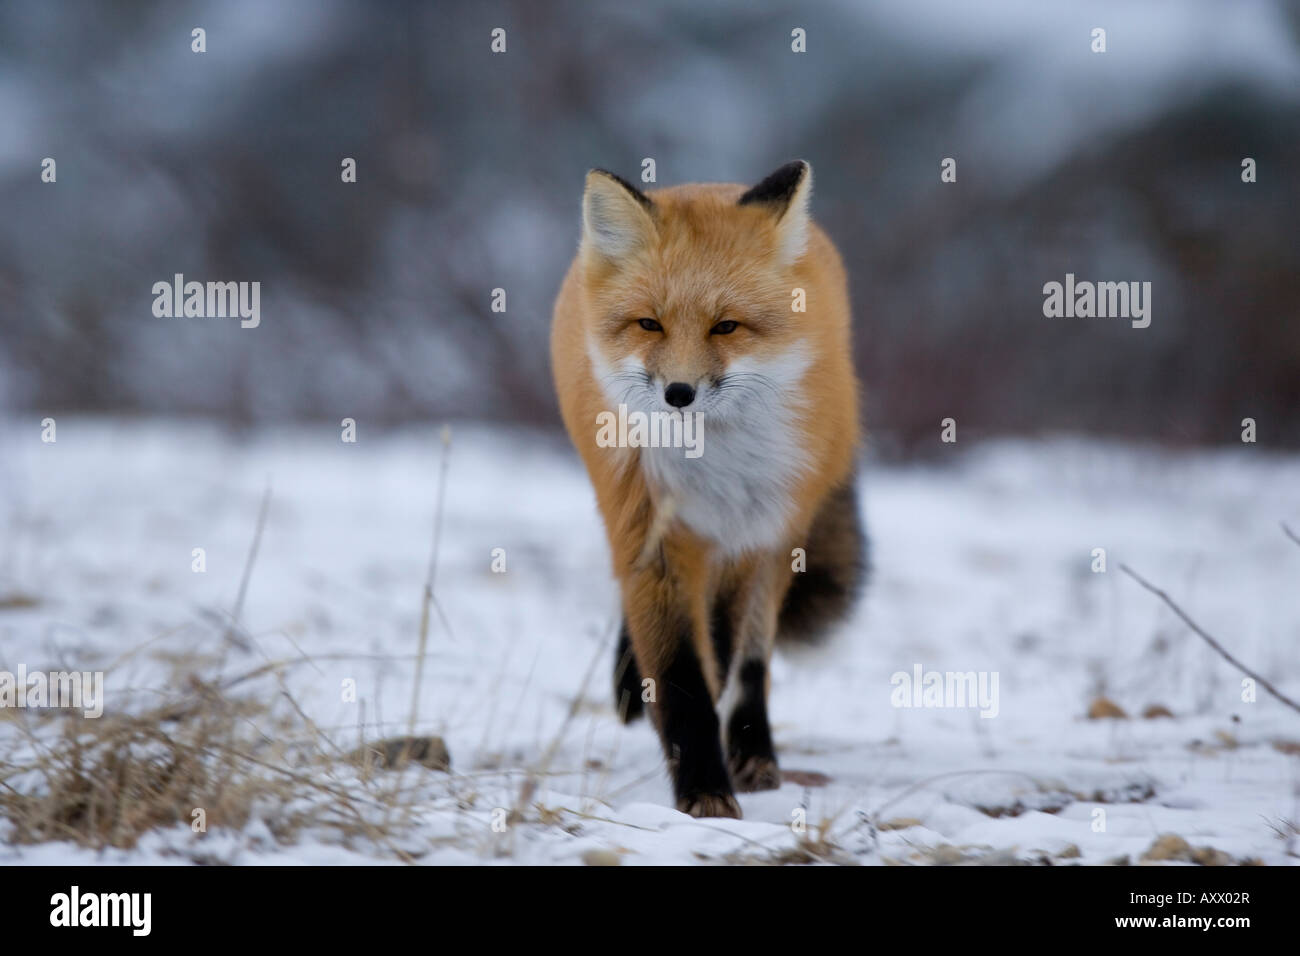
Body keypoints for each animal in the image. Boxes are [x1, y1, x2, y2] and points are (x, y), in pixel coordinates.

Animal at [550, 160, 866, 818]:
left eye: (726, 327)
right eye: (650, 323)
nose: (678, 393)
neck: (710, 464)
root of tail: (705, 182)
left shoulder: (755, 532)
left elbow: (730, 658)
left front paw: (727, 767)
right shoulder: (649, 526)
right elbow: (679, 672)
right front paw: (702, 789)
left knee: (748, 656)